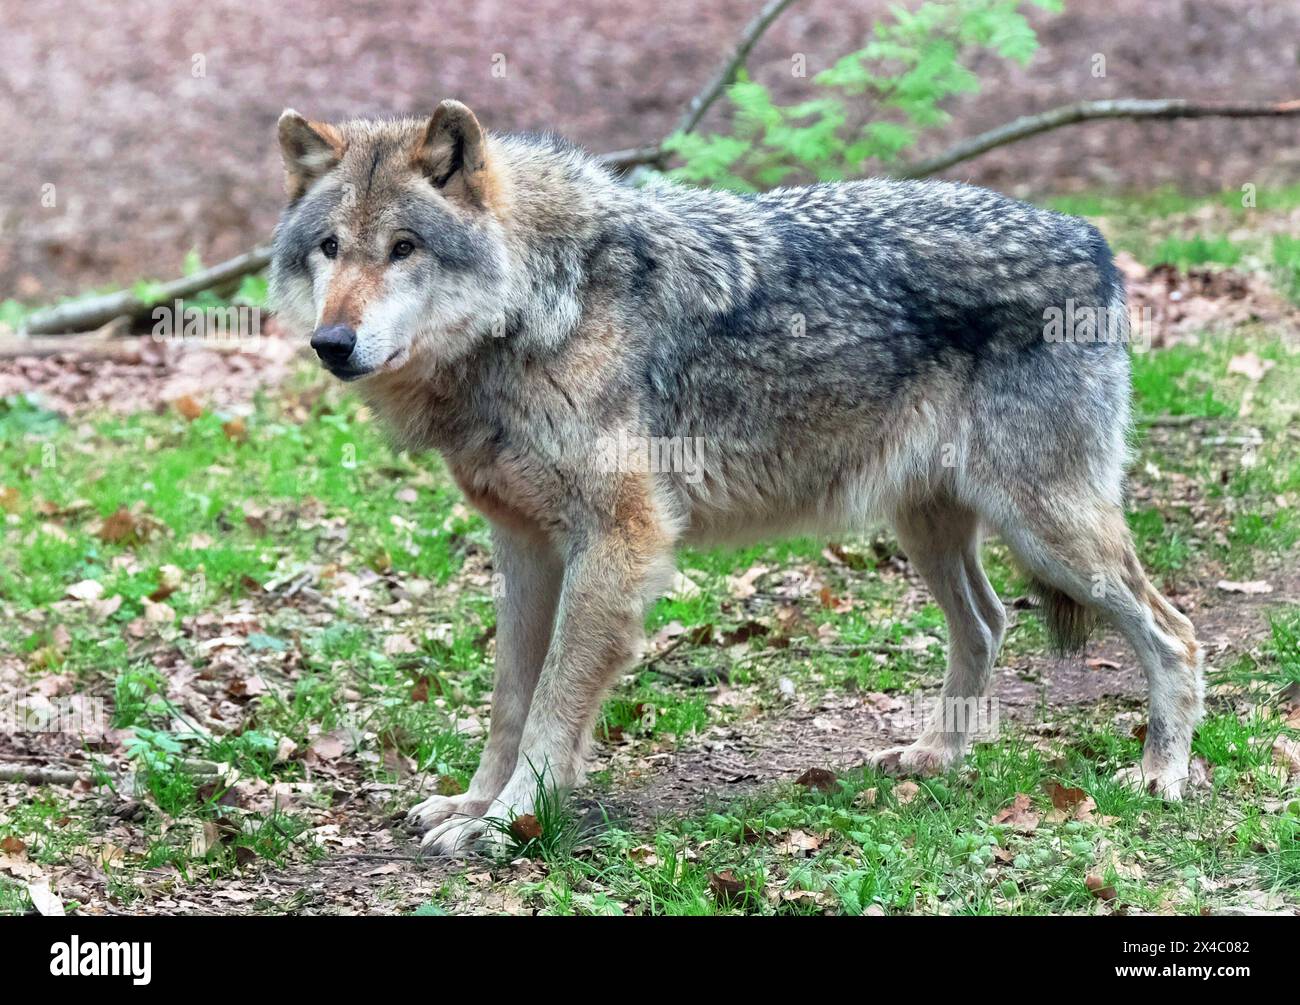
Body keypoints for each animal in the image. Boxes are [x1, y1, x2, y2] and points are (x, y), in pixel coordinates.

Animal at [269, 100, 1203, 855]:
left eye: (404, 248)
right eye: (329, 248)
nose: (331, 343)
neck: (541, 308)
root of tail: (1091, 237)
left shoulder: (621, 540)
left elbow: (552, 703)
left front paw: (508, 823)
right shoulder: (524, 547)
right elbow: (508, 699)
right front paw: (472, 804)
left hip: (1049, 532)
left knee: (1176, 635)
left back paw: (1161, 774)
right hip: (931, 529)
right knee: (987, 622)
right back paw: (936, 758)